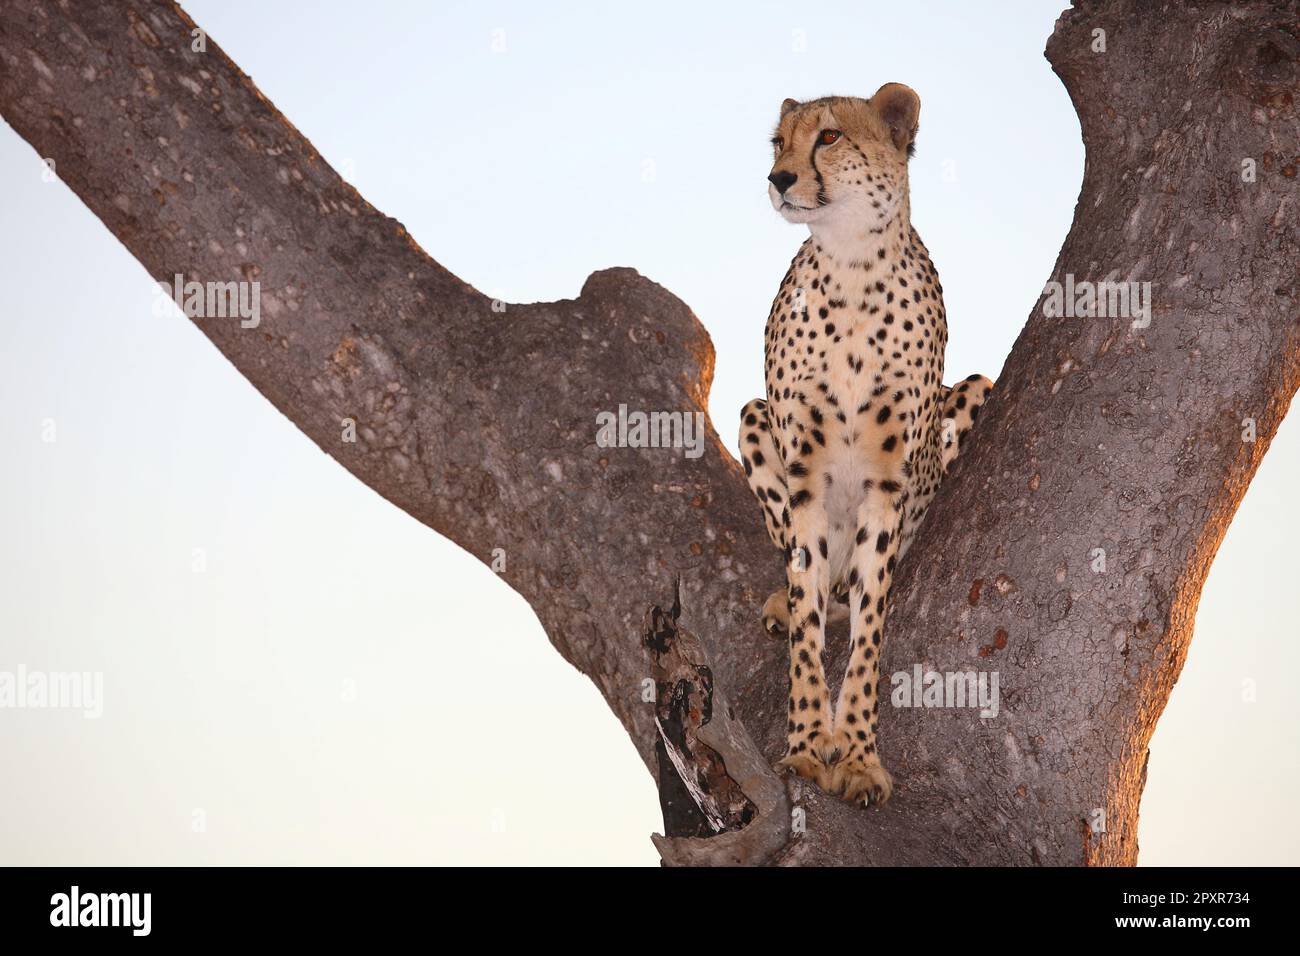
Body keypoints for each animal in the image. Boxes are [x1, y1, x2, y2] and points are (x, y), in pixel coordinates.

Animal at [738, 83, 993, 807]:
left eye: (827, 137)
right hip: (752, 416)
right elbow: (807, 630)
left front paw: (854, 754)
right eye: (779, 142)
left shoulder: (888, 484)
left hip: (974, 389)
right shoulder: (805, 479)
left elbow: (871, 624)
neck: (852, 266)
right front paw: (804, 746)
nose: (778, 178)